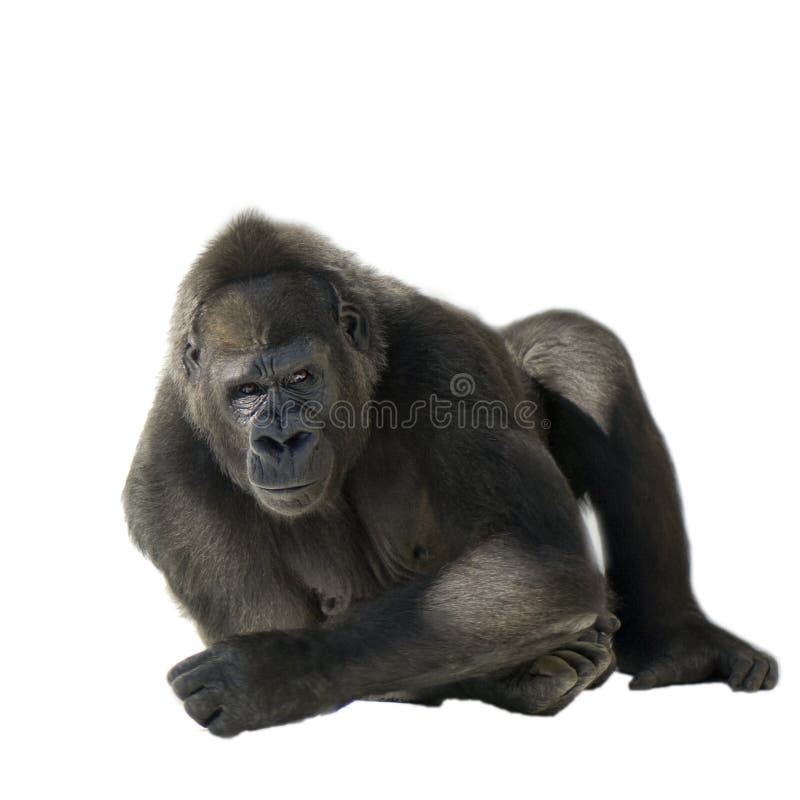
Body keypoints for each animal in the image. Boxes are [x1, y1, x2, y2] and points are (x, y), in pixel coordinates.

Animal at [123, 211, 778, 736]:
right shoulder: (168, 481)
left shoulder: (445, 362)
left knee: (576, 346)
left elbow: (543, 562)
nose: (281, 440)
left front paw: (273, 672)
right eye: (247, 393)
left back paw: (676, 643)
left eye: (302, 378)